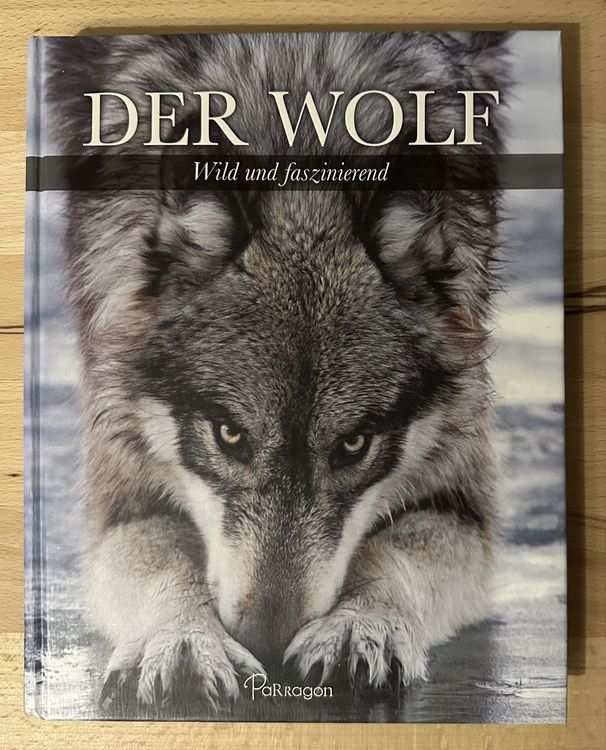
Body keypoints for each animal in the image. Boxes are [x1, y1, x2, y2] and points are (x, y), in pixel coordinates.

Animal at [47, 31, 509, 707]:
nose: (266, 641)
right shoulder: (120, 484)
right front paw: (183, 640)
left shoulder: (460, 494)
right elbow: (164, 557)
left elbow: (395, 552)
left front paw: (359, 627)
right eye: (229, 435)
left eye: (354, 445)